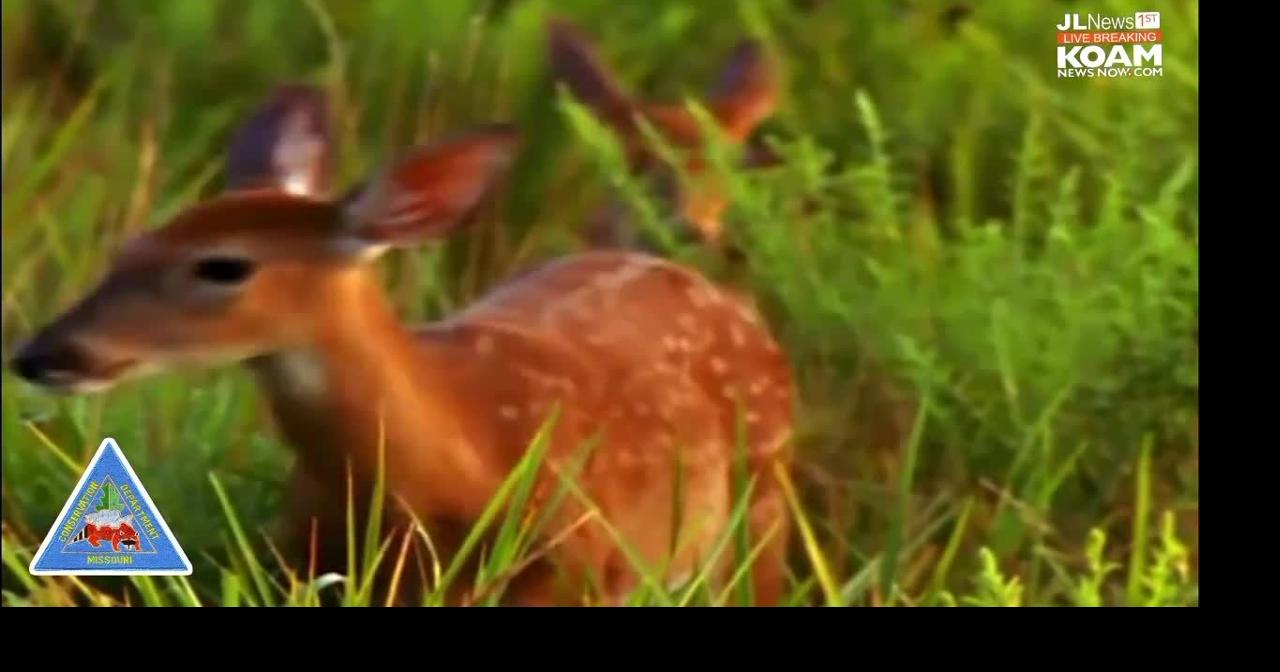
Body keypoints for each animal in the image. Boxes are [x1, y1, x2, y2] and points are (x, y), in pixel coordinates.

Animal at [8, 84, 796, 606]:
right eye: (131, 244)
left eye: (223, 265)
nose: (42, 353)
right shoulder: (300, 552)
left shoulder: (580, 567)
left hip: (761, 509)